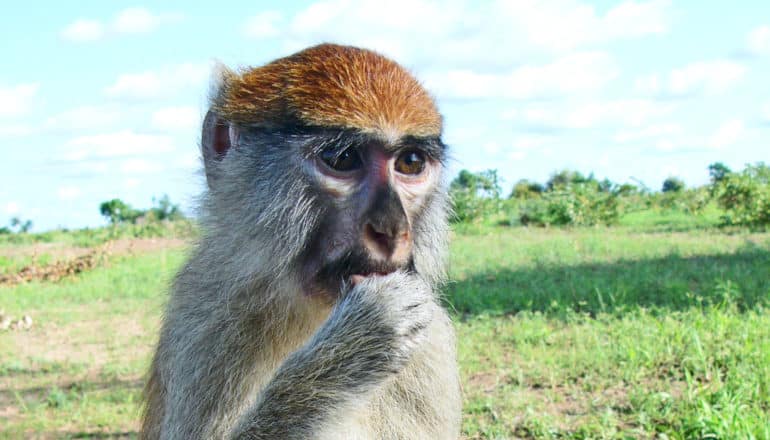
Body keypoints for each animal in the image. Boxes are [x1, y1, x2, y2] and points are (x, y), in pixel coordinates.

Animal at [141, 43, 461, 439]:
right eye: (343, 158)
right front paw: (354, 343)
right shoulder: (205, 313)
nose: (391, 229)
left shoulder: (430, 336)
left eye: (411, 162)